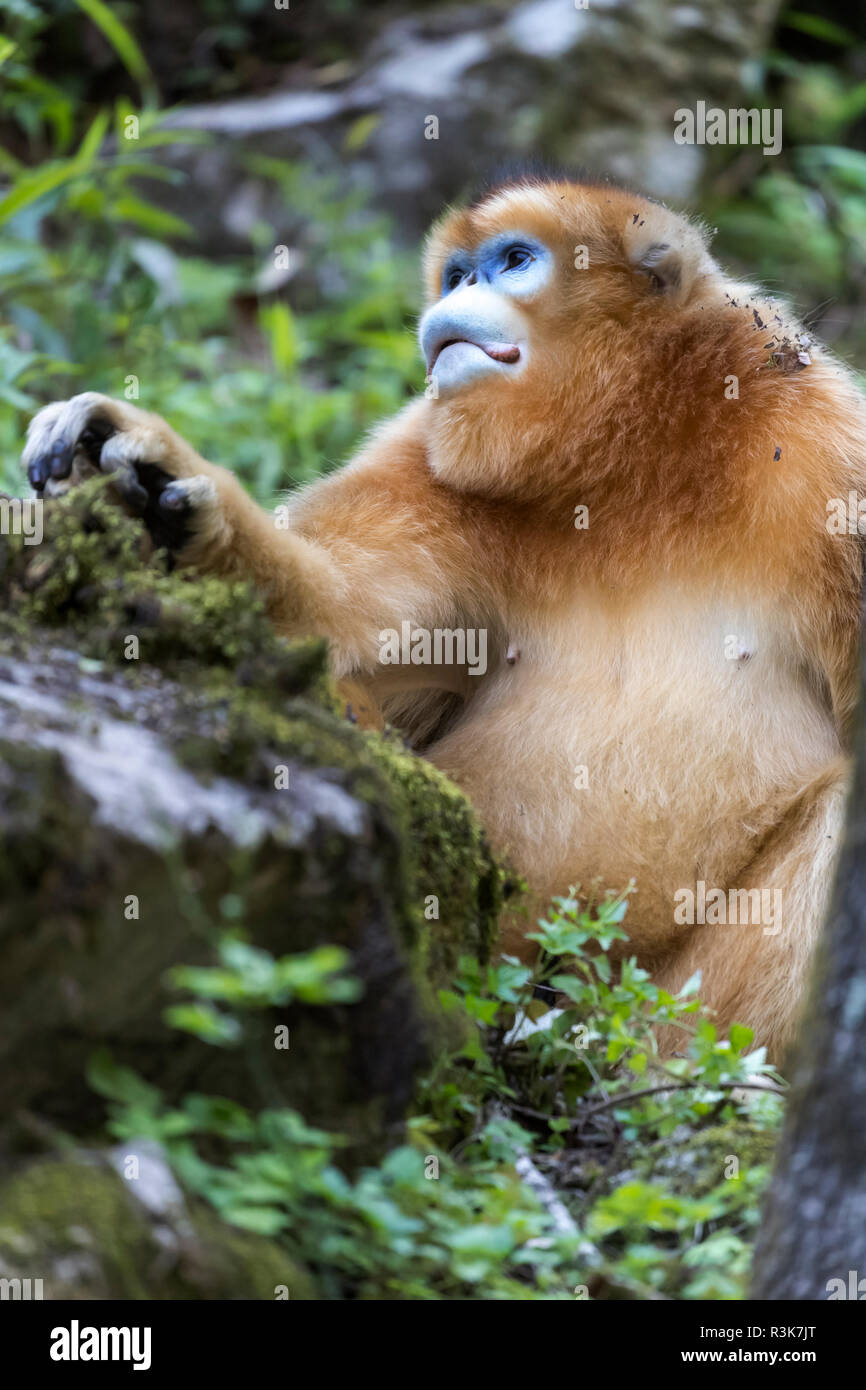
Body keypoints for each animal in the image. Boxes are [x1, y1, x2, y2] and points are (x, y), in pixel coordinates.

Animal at [21, 178, 866, 1063]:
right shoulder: (428, 455)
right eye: (458, 273)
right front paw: (152, 487)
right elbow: (332, 612)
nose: (456, 299)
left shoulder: (825, 443)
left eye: (514, 261)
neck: (631, 462)